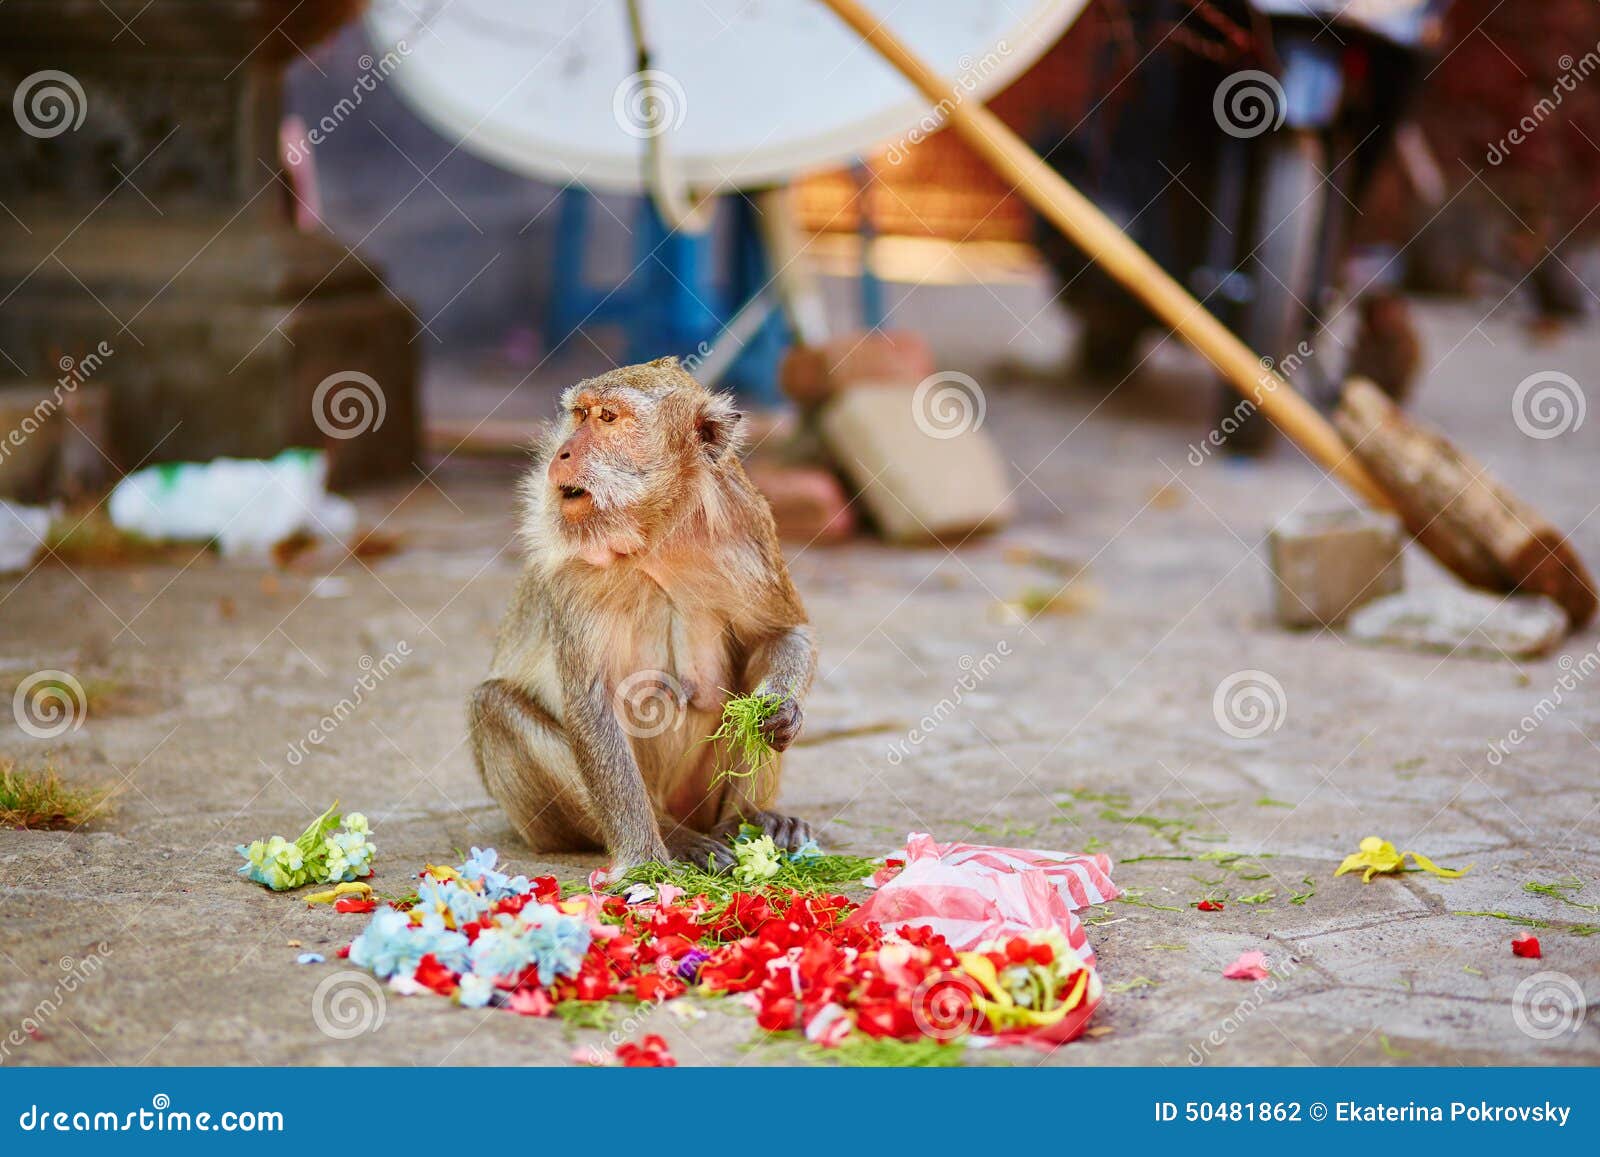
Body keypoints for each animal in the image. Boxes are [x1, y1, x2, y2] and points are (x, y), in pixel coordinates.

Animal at [468, 357, 818, 874]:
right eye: (580, 414)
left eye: (608, 418)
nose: (564, 453)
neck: (656, 532)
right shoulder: (572, 563)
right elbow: (591, 701)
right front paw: (645, 861)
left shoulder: (748, 524)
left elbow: (781, 633)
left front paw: (779, 709)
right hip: (542, 826)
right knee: (492, 706)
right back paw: (678, 836)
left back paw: (751, 823)